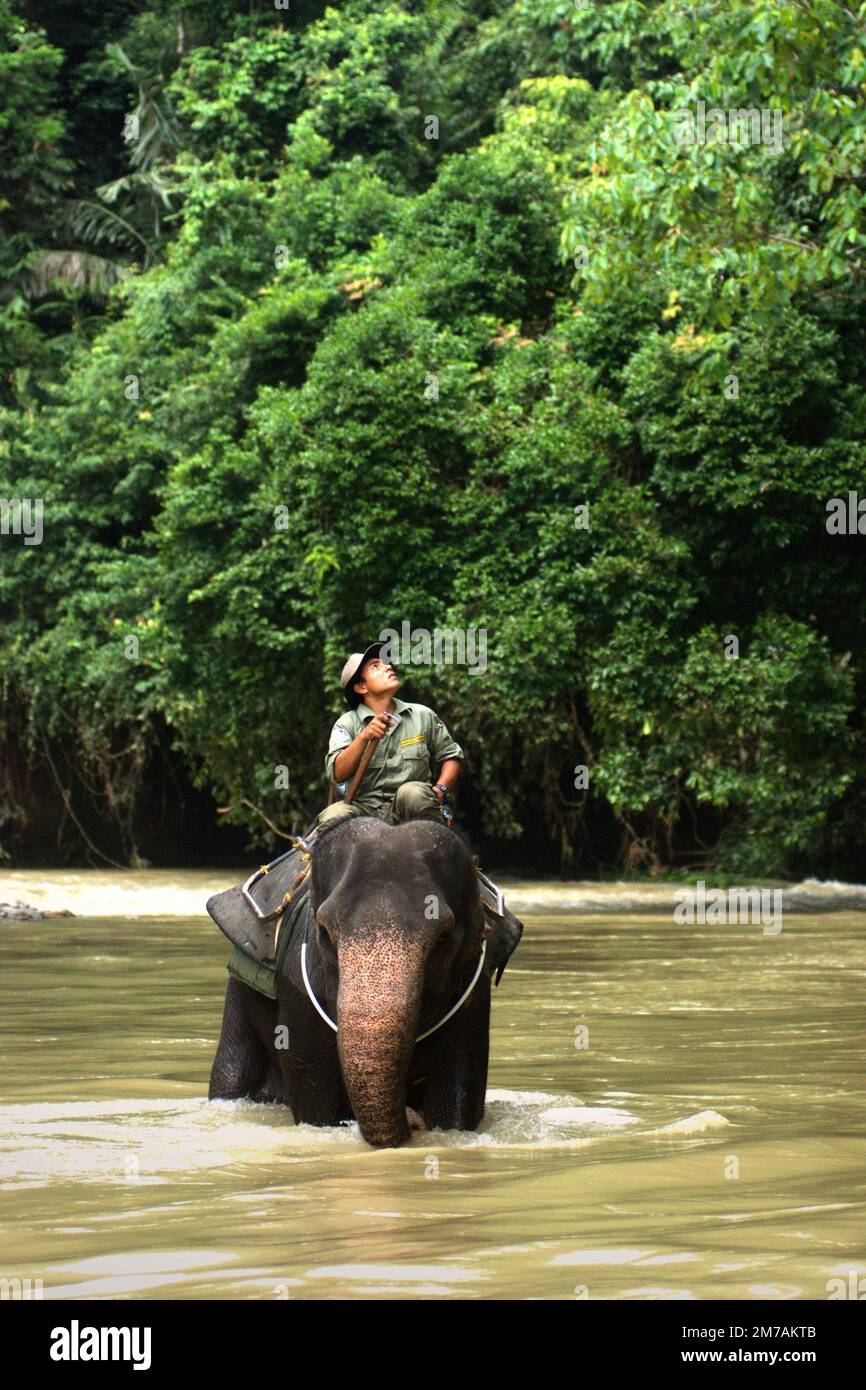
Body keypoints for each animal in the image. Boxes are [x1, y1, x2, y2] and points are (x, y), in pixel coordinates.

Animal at [208, 817, 523, 1148]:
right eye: (324, 932)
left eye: (443, 938)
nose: (413, 1117)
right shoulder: (299, 987)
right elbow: (316, 1101)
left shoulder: (473, 987)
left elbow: (458, 1090)